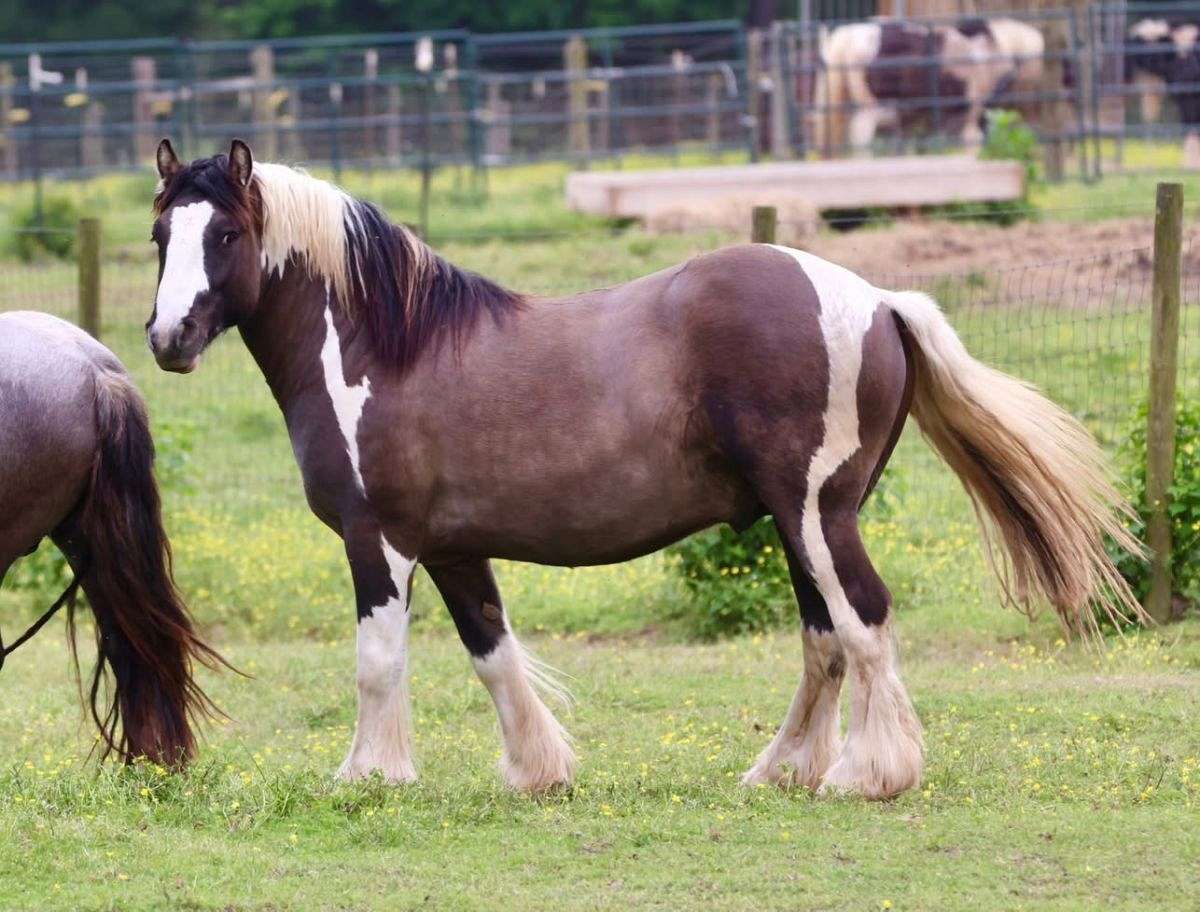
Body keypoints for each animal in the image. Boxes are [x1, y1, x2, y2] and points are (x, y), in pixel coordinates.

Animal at [146, 138, 1142, 799]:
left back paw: (868, 774)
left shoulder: (379, 540)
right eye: (162, 236)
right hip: (799, 522)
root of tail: (879, 300)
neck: (380, 349)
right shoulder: (457, 548)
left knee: (860, 624)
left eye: (226, 236)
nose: (167, 338)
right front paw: (536, 772)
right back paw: (780, 769)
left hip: (818, 513)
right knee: (824, 638)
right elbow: (492, 654)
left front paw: (370, 776)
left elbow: (378, 662)